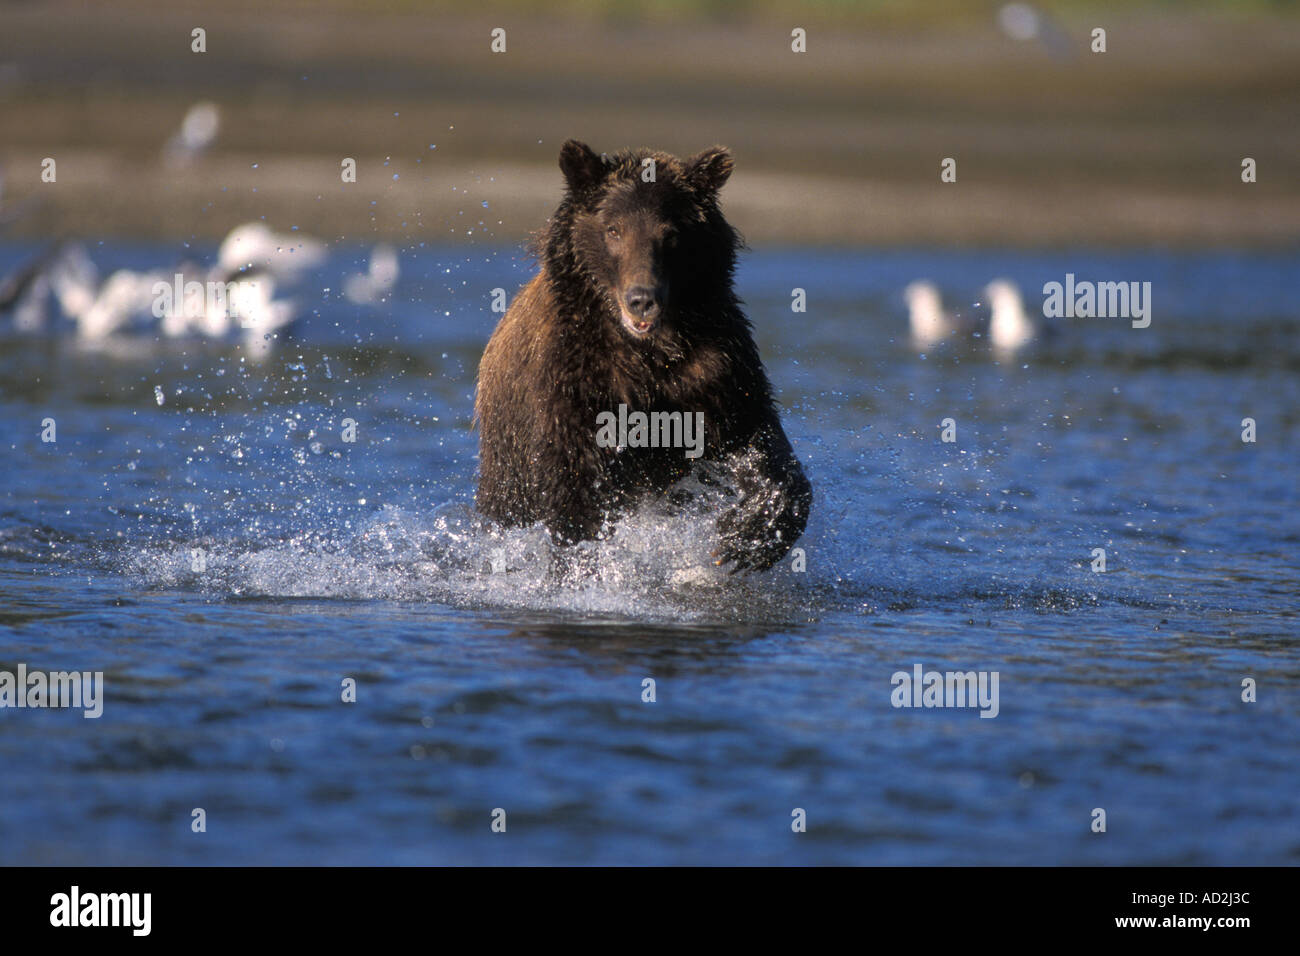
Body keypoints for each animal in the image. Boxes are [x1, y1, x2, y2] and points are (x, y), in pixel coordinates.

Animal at [474, 140, 811, 572]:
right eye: (613, 229)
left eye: (671, 234)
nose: (642, 299)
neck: (645, 352)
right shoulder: (573, 382)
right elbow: (574, 487)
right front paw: (584, 565)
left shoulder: (716, 369)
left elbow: (759, 439)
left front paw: (744, 538)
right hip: (506, 472)